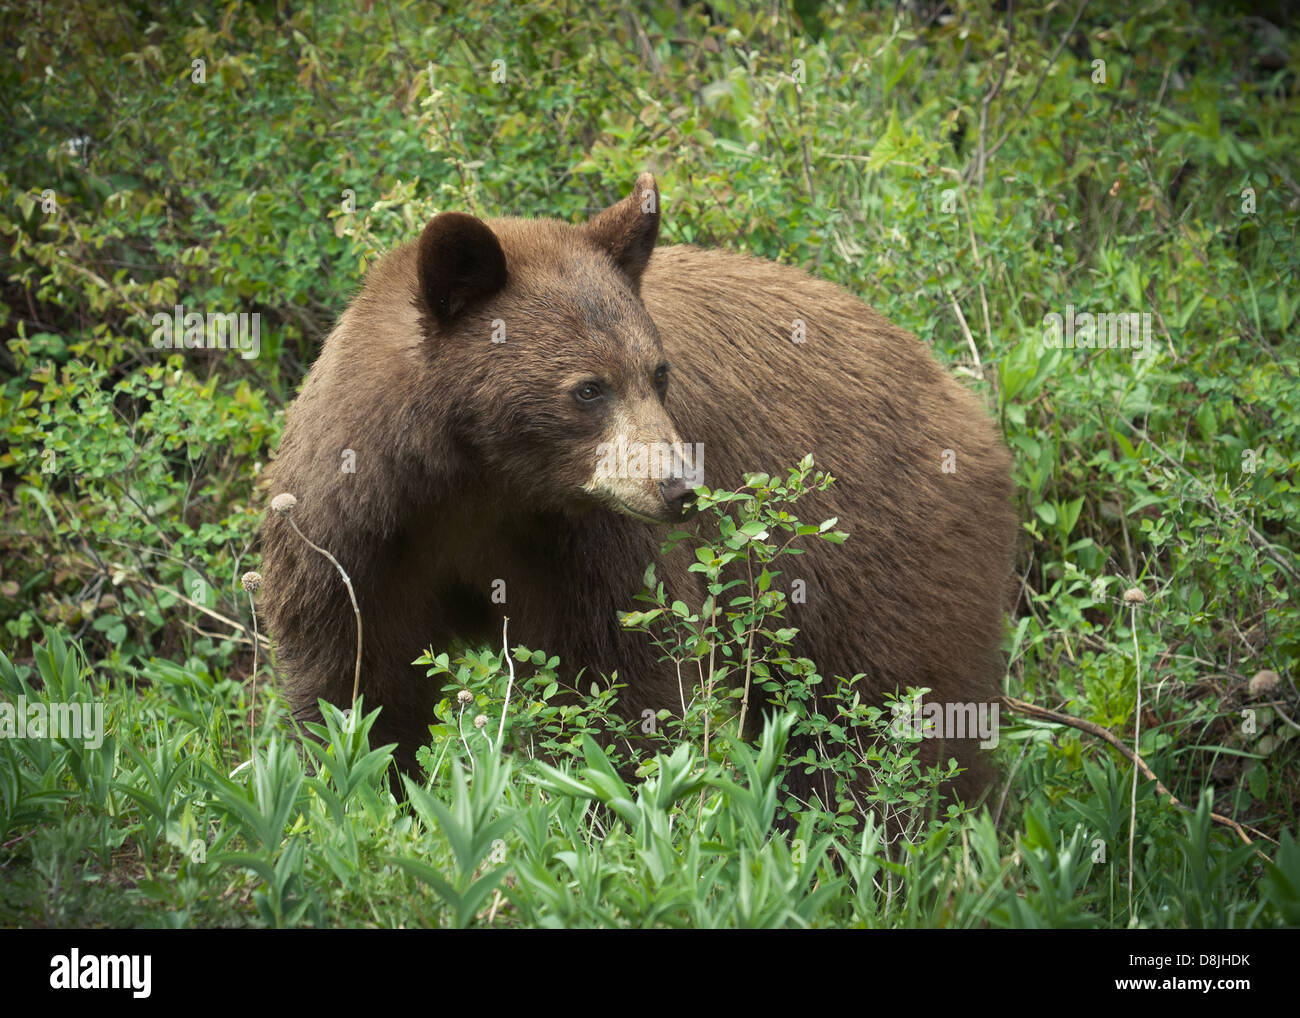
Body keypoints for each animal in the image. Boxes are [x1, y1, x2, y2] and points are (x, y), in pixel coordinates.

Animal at [259, 172, 1017, 811]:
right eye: (588, 388)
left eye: (658, 372)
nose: (681, 487)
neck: (475, 483)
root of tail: (965, 405)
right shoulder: (360, 531)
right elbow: (360, 684)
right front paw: (371, 790)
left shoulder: (587, 544)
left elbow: (624, 676)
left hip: (886, 546)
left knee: (905, 708)